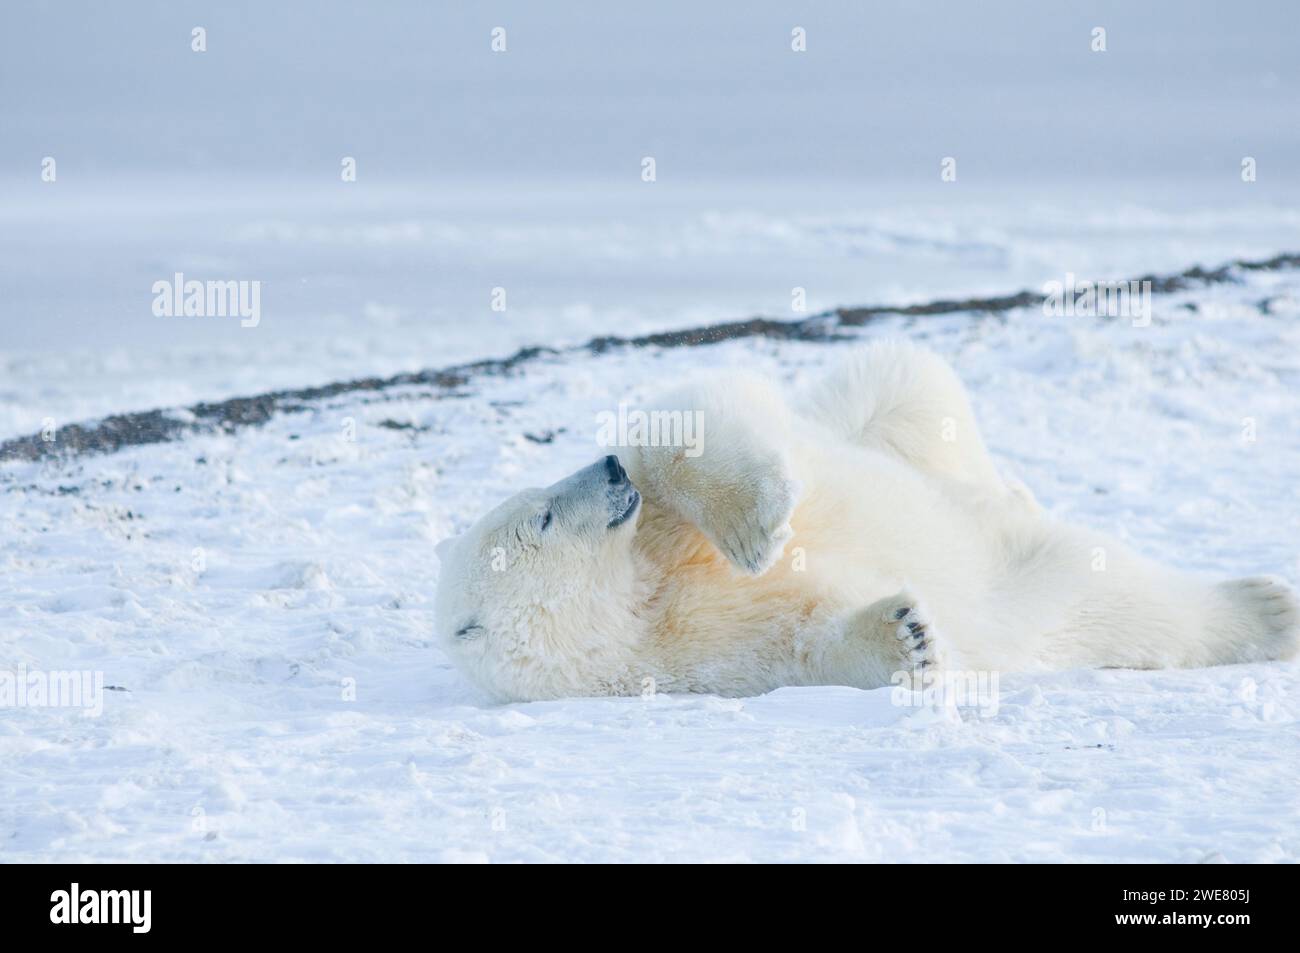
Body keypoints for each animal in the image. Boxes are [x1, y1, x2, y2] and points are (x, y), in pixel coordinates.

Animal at [434, 339, 1298, 703]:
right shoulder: (687, 659)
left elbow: (688, 412)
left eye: (538, 494)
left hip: (881, 423)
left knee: (899, 381)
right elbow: (800, 644)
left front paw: (755, 530)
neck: (636, 598)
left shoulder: (657, 529)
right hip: (1029, 588)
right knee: (1117, 602)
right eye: (547, 515)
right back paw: (1268, 609)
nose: (606, 471)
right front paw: (906, 633)